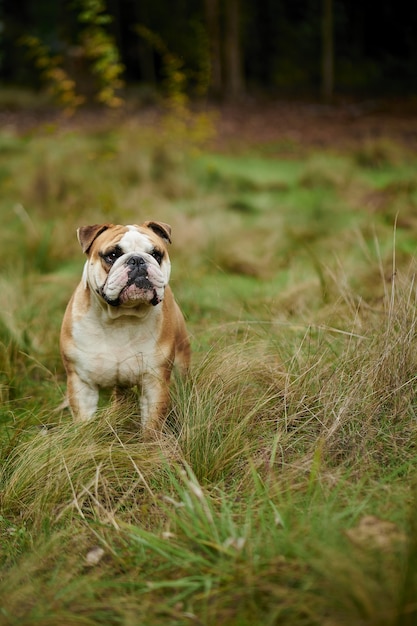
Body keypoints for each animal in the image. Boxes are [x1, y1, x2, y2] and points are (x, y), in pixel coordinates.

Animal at [60, 222, 190, 436]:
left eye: (156, 254)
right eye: (112, 255)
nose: (137, 260)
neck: (121, 318)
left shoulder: (154, 383)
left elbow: (152, 426)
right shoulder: (82, 384)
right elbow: (84, 423)